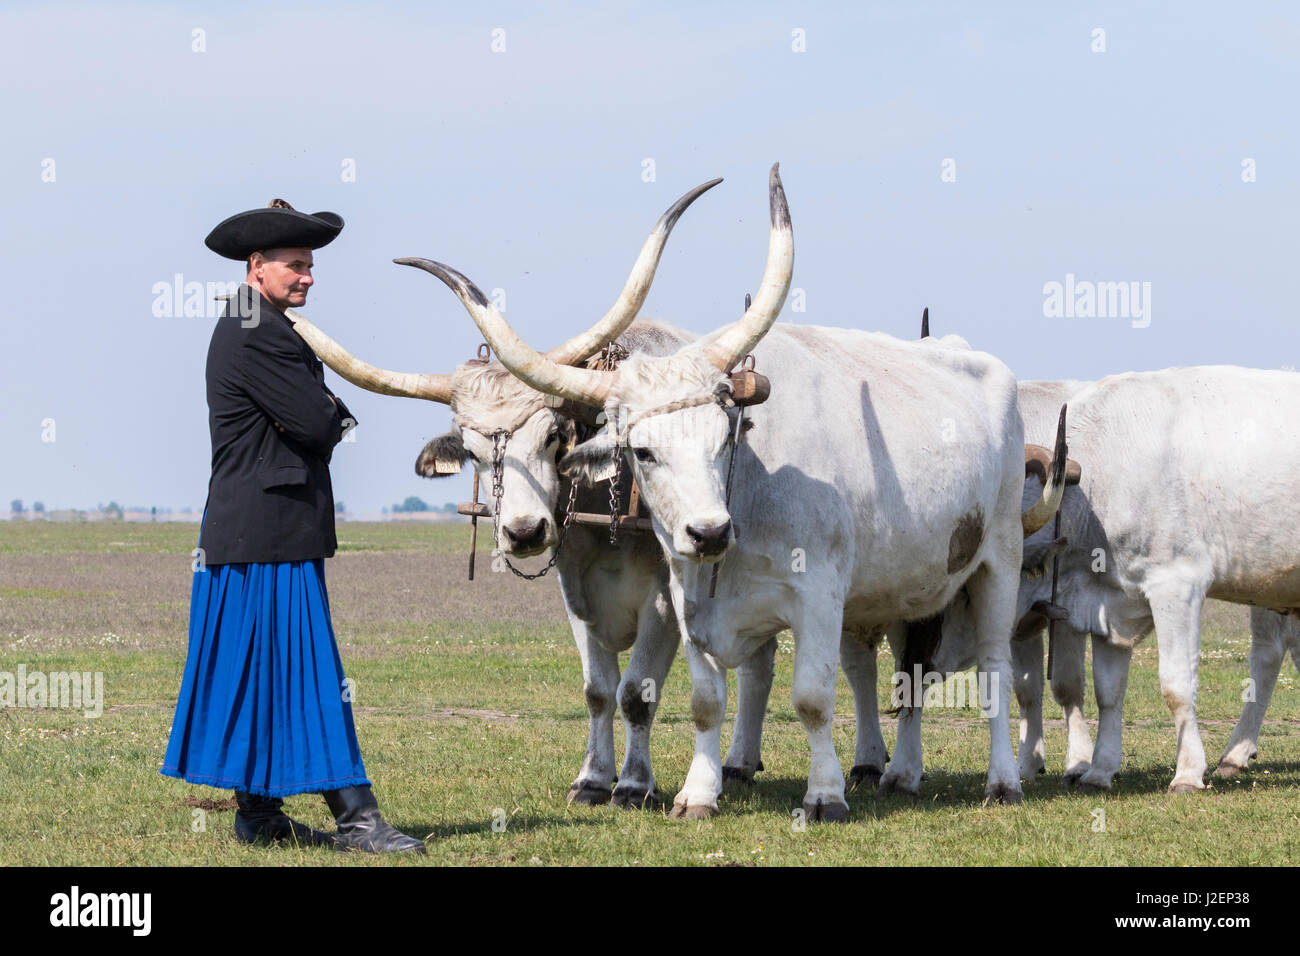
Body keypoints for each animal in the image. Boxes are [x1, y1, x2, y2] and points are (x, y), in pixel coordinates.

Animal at [405, 163, 1073, 818]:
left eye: (725, 435)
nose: (708, 532)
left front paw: (823, 794)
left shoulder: (816, 594)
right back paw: (895, 773)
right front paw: (697, 793)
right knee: (897, 671)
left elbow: (809, 698)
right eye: (641, 451)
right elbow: (701, 698)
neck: (749, 498)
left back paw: (1001, 781)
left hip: (997, 560)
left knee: (992, 668)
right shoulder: (681, 596)